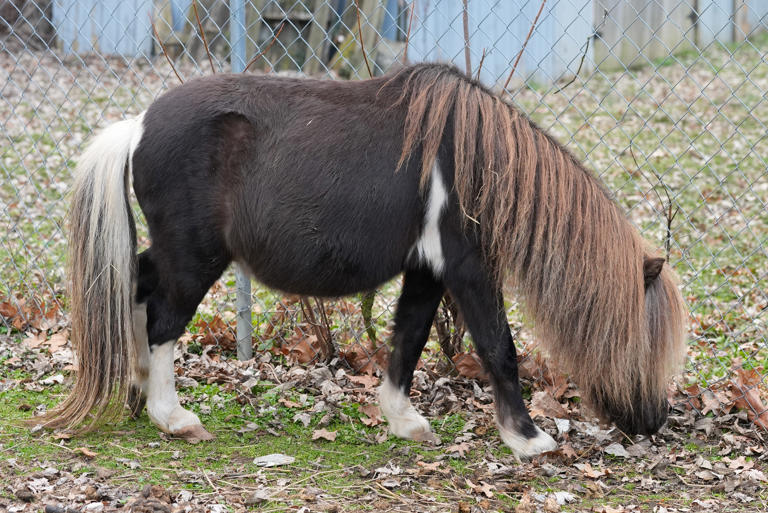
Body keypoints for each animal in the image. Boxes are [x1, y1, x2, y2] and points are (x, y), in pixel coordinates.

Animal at [40, 63, 687, 457]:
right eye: (645, 340)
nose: (653, 422)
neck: (475, 161)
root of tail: (138, 126)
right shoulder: (469, 269)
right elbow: (498, 348)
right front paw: (527, 438)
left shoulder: (427, 270)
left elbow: (409, 340)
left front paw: (404, 421)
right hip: (195, 258)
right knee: (163, 320)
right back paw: (173, 416)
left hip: (177, 254)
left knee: (137, 287)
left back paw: (136, 389)